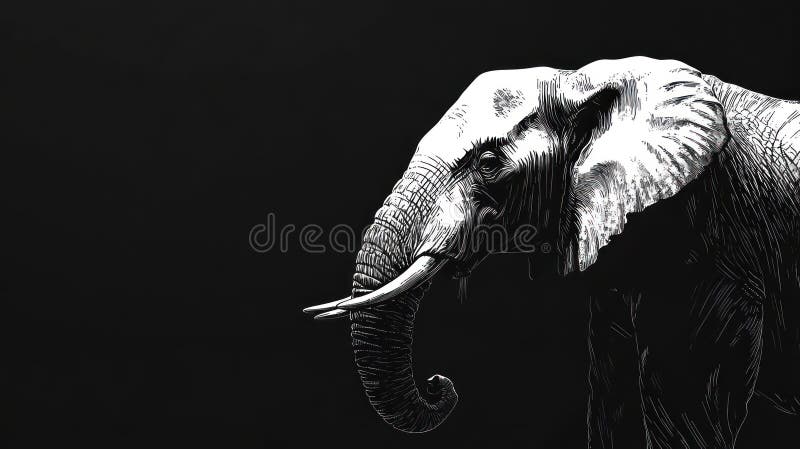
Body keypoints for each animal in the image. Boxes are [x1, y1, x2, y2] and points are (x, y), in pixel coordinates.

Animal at [303, 57, 800, 448]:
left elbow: (686, 399)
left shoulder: (711, 241)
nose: (437, 384)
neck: (581, 82)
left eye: (489, 164)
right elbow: (610, 389)